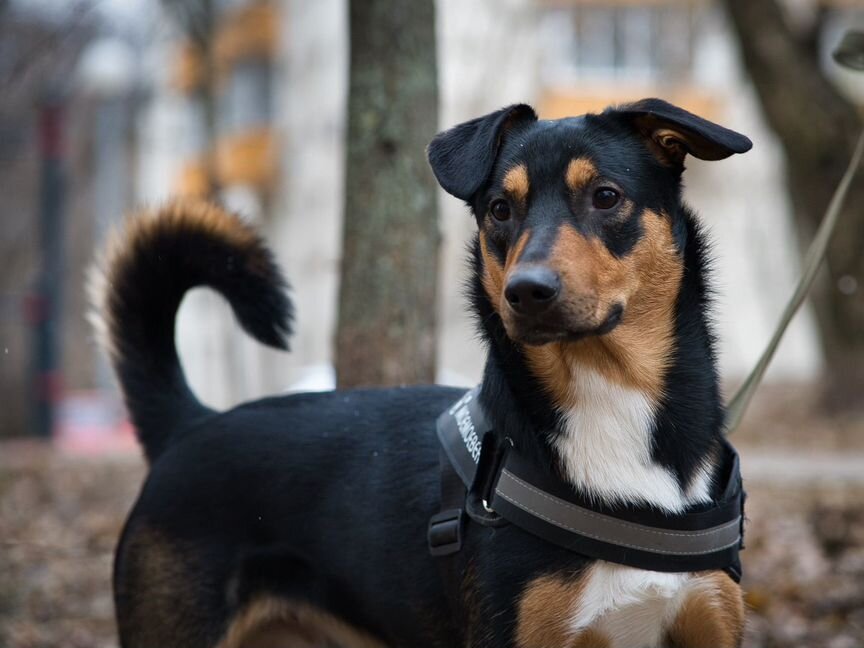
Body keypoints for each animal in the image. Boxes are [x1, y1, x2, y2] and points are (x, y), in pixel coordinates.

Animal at [94, 97, 752, 648]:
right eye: (499, 210)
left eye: (606, 197)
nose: (526, 292)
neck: (609, 396)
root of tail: (189, 425)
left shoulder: (709, 625)